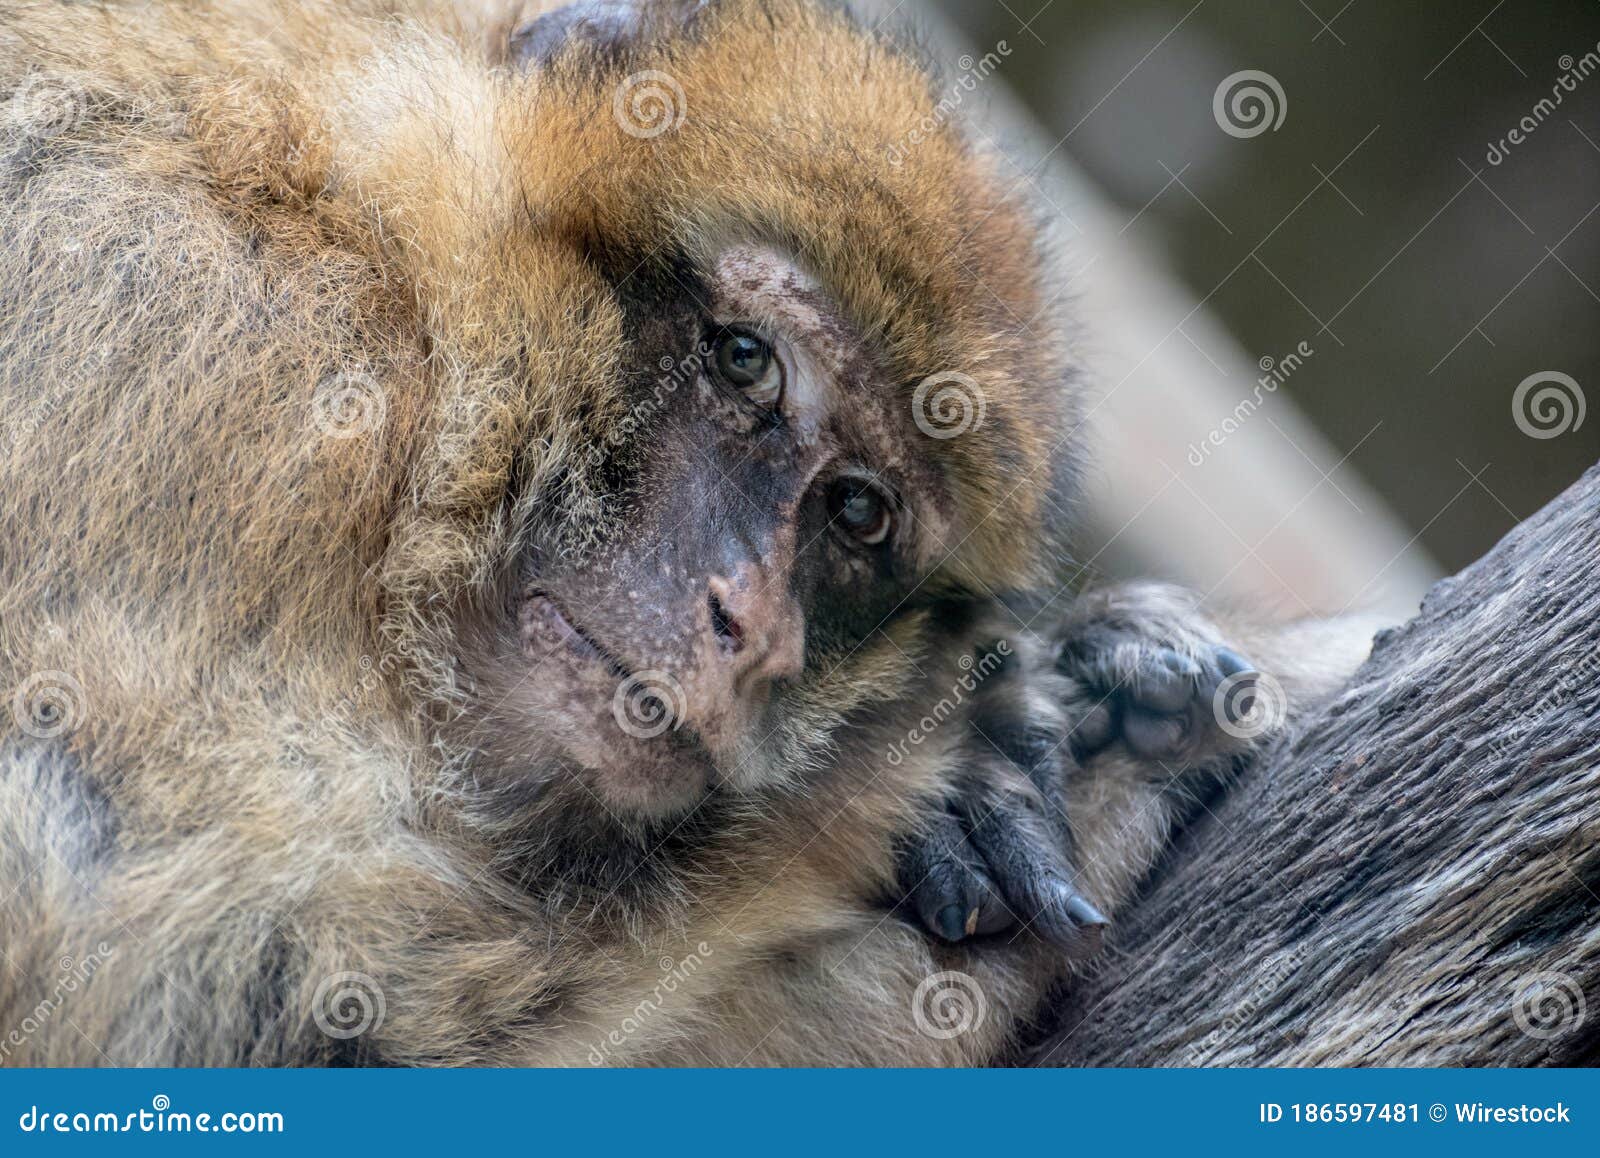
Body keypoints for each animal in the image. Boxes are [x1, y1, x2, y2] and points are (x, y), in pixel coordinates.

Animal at [0, 0, 1381, 1065]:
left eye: (857, 512)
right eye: (744, 360)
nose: (752, 628)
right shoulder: (219, 356)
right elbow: (183, 1002)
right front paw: (978, 764)